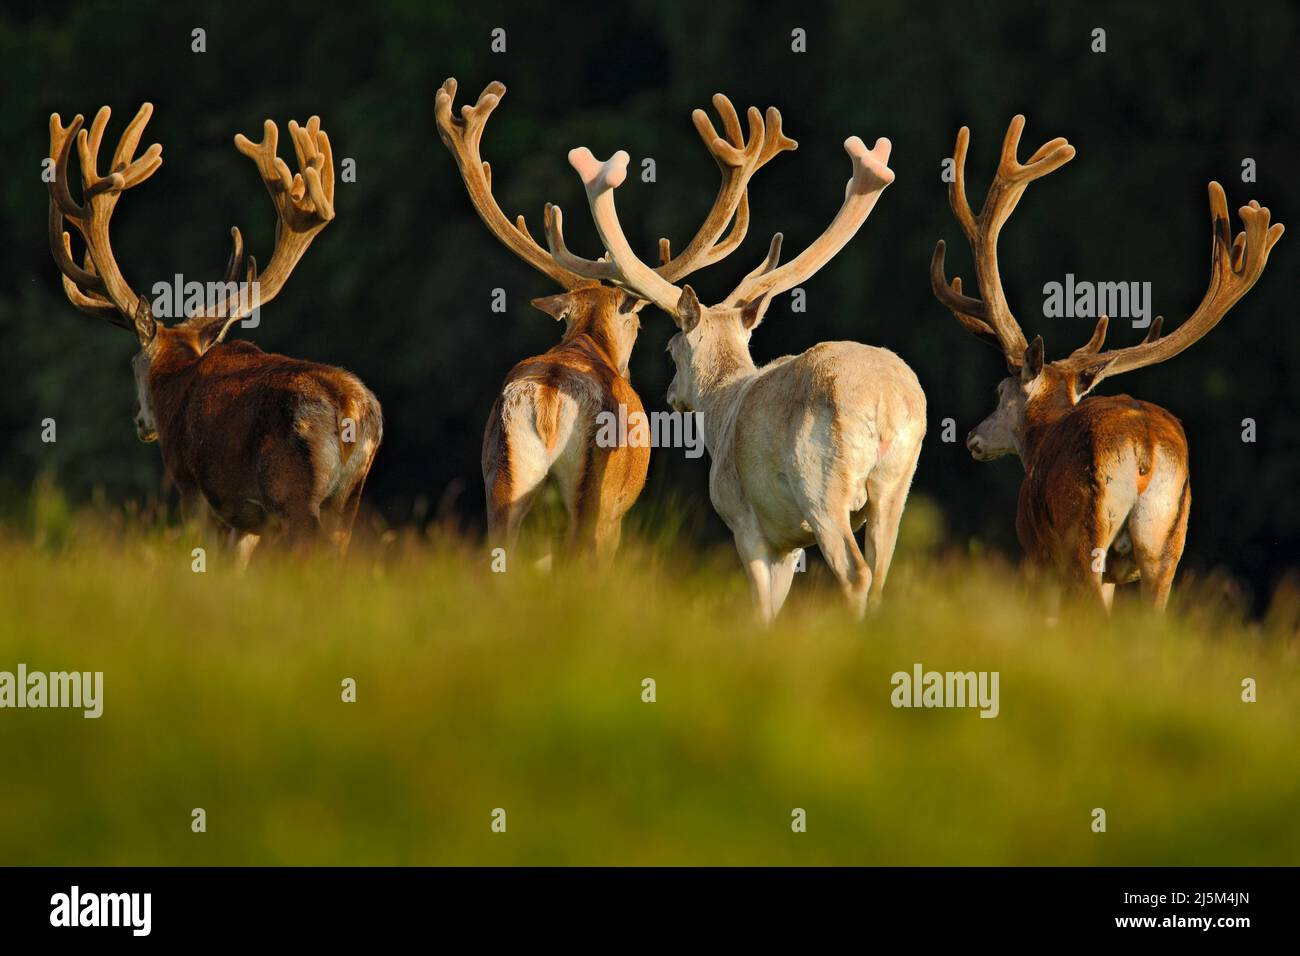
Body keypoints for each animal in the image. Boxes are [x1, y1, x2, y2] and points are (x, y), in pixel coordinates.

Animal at [48, 103, 383, 564]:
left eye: (133, 364)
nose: (139, 420)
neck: (175, 382)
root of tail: (351, 408)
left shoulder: (190, 485)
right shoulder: (245, 519)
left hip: (293, 491)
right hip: (348, 498)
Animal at [435, 79, 795, 560]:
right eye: (640, 326)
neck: (588, 341)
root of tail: (546, 402)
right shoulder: (619, 511)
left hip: (502, 484)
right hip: (596, 500)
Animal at [546, 131, 925, 622]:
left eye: (670, 350)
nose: (671, 394)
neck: (723, 408)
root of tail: (888, 402)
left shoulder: (746, 520)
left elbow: (763, 608)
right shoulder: (788, 537)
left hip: (822, 486)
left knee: (855, 572)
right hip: (895, 486)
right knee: (879, 576)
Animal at [931, 115, 1284, 610]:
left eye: (999, 391)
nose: (973, 438)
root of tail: (1147, 449)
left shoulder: (1037, 547)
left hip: (1084, 533)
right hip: (1166, 541)